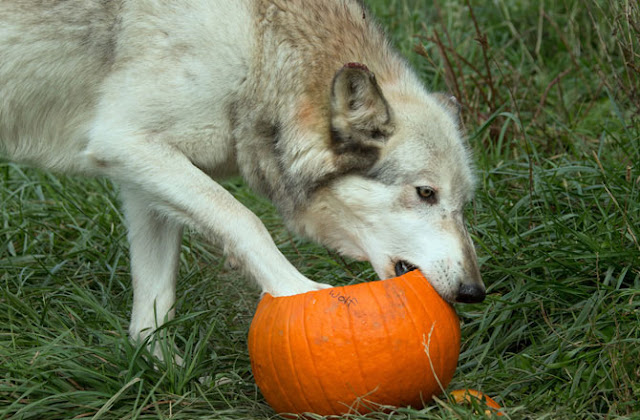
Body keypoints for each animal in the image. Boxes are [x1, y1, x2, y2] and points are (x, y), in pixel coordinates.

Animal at [0, 0, 485, 348]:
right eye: (425, 193)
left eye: (463, 206)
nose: (475, 292)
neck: (259, 47)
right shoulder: (123, 140)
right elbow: (243, 219)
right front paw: (297, 291)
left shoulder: (142, 180)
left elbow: (154, 306)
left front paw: (163, 375)